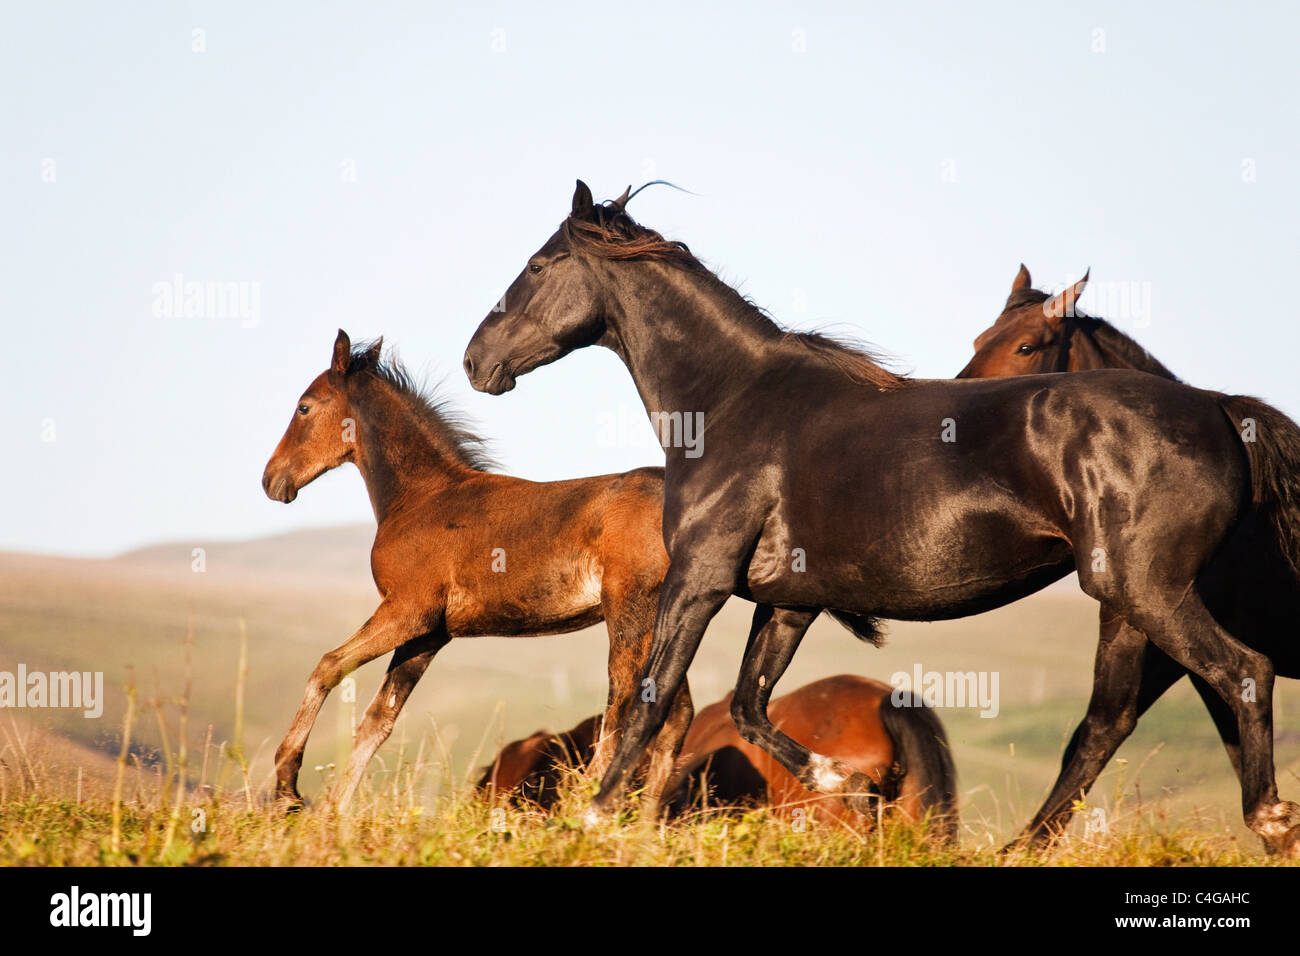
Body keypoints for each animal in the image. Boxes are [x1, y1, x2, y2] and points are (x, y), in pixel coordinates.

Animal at [261, 328, 696, 812]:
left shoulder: (407, 611)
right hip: (664, 619)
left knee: (625, 697)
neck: (421, 497)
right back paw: (644, 820)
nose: (272, 480)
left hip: (630, 610)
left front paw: (287, 788)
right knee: (674, 712)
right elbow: (379, 718)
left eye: (304, 406)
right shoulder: (430, 633)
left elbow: (328, 666)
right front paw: (334, 814)